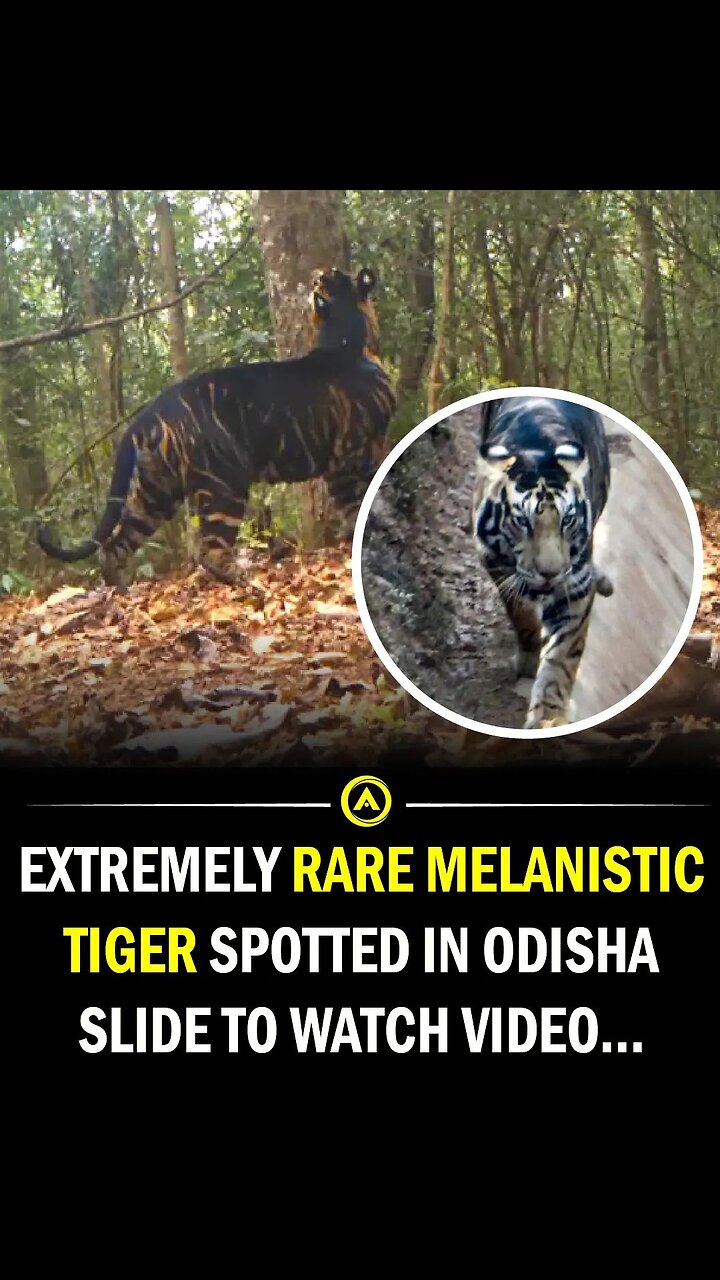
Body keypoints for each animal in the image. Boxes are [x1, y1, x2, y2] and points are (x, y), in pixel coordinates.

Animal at [38, 267, 396, 586]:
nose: (316, 275)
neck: (345, 336)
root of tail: (147, 413)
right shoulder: (355, 455)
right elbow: (359, 504)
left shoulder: (339, 465)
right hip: (225, 483)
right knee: (208, 551)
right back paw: (248, 582)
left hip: (155, 491)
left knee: (114, 546)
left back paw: (122, 591)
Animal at [471, 395, 613, 729]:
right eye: (522, 521)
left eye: (568, 520)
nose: (550, 573)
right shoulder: (496, 564)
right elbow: (521, 614)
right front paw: (527, 659)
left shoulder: (574, 587)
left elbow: (561, 659)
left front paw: (549, 719)